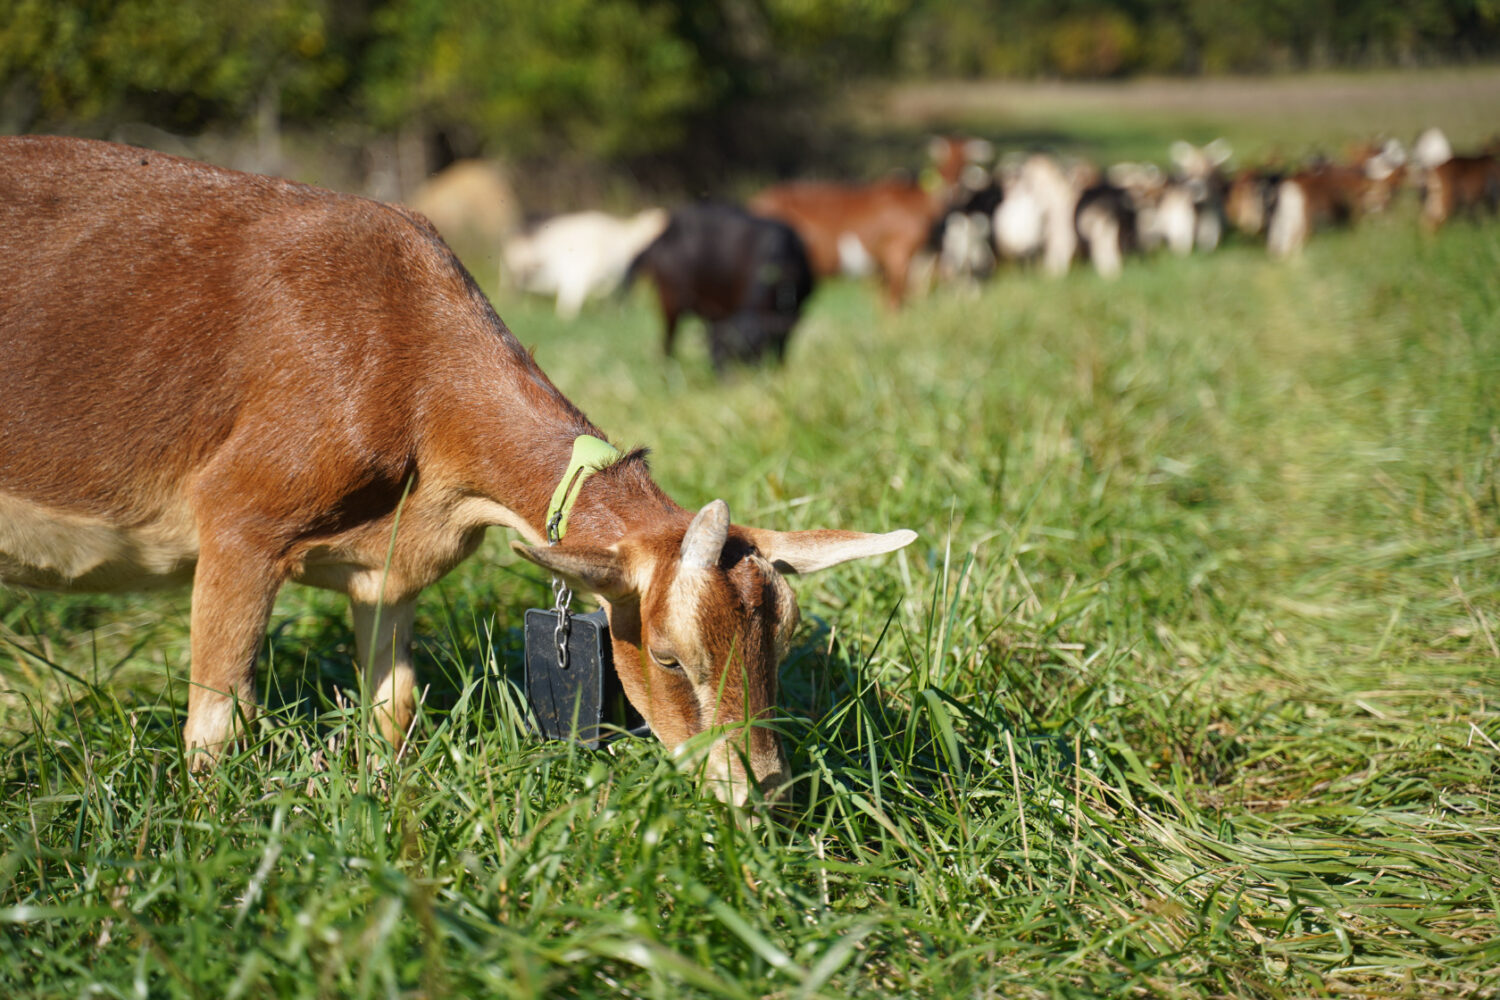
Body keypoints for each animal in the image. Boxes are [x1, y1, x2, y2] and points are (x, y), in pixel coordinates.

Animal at [0, 136, 915, 805]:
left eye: (781, 643)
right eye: (667, 657)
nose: (764, 792)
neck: (412, 373)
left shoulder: (389, 565)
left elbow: (393, 706)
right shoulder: (241, 517)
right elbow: (216, 724)